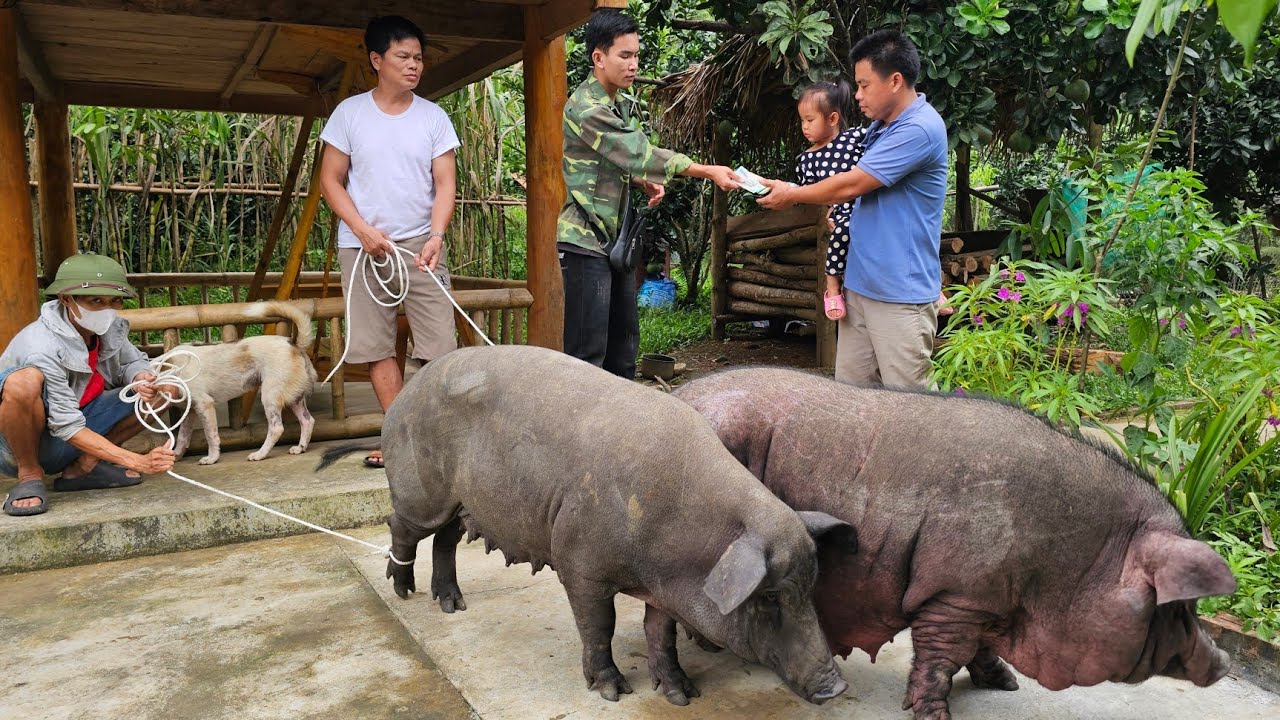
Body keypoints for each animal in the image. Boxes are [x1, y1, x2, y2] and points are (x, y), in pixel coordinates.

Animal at [318, 346, 854, 706]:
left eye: (809, 589)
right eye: (769, 597)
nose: (836, 685)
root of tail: (405, 394)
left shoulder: (666, 589)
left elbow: (661, 632)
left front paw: (683, 695)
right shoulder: (580, 563)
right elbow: (600, 624)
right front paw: (613, 692)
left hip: (465, 501)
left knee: (447, 539)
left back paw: (453, 605)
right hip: (422, 490)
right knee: (403, 525)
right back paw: (404, 590)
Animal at [673, 367, 1237, 720]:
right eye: (1179, 609)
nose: (1224, 662)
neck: (1077, 560)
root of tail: (678, 395)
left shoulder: (987, 600)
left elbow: (980, 649)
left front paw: (1006, 684)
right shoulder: (955, 596)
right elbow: (940, 660)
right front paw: (936, 715)